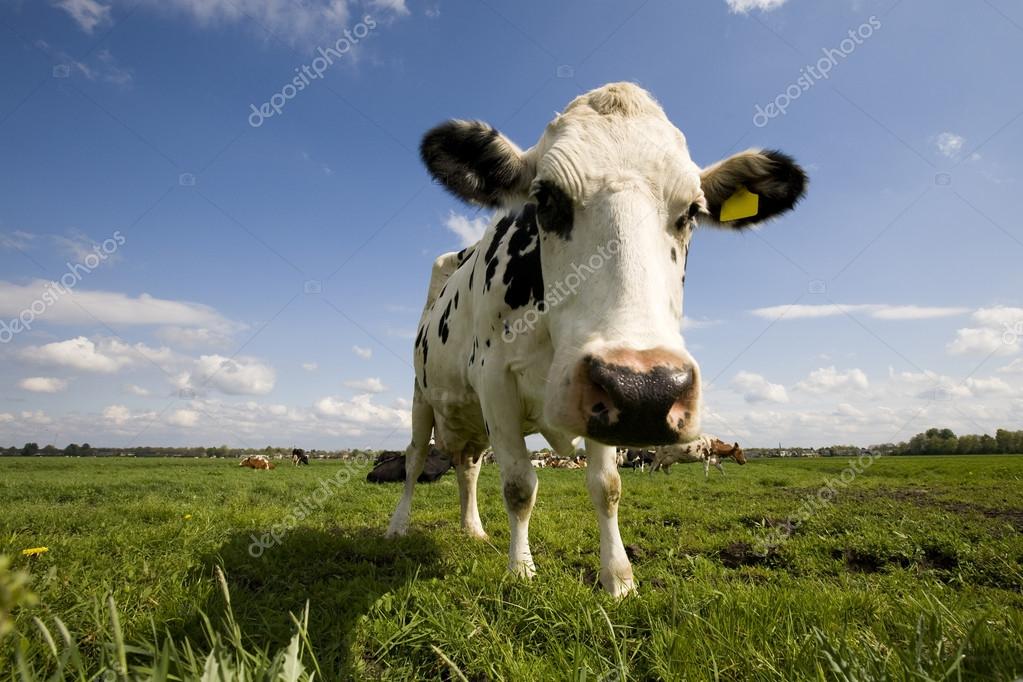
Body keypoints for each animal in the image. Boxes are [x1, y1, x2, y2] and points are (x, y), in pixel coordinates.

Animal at [385, 82, 806, 597]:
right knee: (413, 459)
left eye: (692, 211)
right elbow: (519, 485)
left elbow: (607, 486)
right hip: (421, 398)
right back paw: (398, 526)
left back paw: (473, 529)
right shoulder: (495, 381)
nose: (650, 390)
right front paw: (521, 570)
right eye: (545, 199)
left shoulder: (603, 400)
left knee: (468, 466)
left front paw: (618, 577)